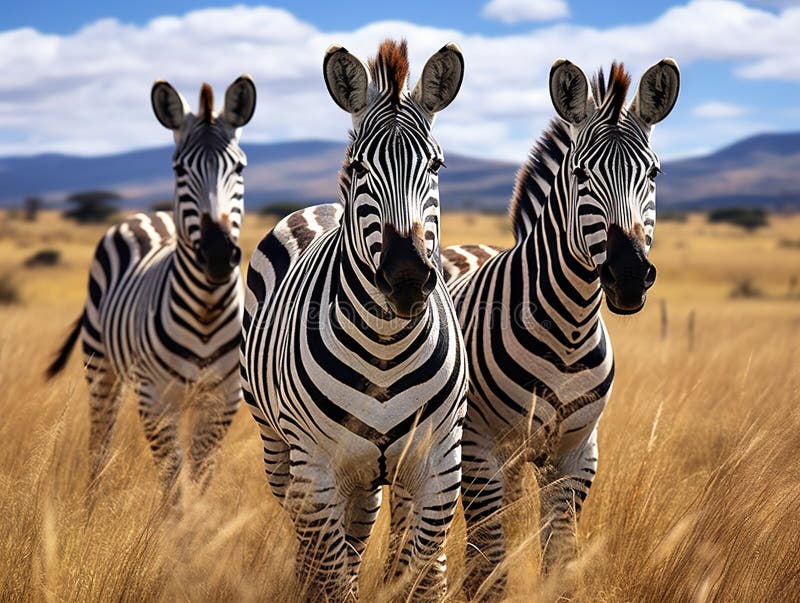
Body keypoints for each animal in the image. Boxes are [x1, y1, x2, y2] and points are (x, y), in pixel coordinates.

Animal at [46, 76, 257, 494]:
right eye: (178, 169)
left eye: (239, 166)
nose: (216, 254)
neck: (207, 308)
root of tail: (148, 214)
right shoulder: (157, 397)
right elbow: (174, 483)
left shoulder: (223, 400)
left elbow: (200, 478)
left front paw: (196, 515)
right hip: (101, 366)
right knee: (100, 440)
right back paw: (91, 500)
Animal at [240, 40, 467, 600]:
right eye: (361, 166)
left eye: (436, 165)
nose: (406, 278)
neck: (386, 346)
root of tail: (317, 207)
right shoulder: (317, 468)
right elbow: (334, 574)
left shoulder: (439, 466)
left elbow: (417, 575)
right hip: (281, 451)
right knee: (312, 540)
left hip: (374, 479)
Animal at [442, 58, 680, 598]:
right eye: (580, 173)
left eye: (653, 172)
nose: (628, 276)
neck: (568, 328)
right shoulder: (480, 446)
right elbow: (489, 567)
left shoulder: (576, 455)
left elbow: (560, 563)